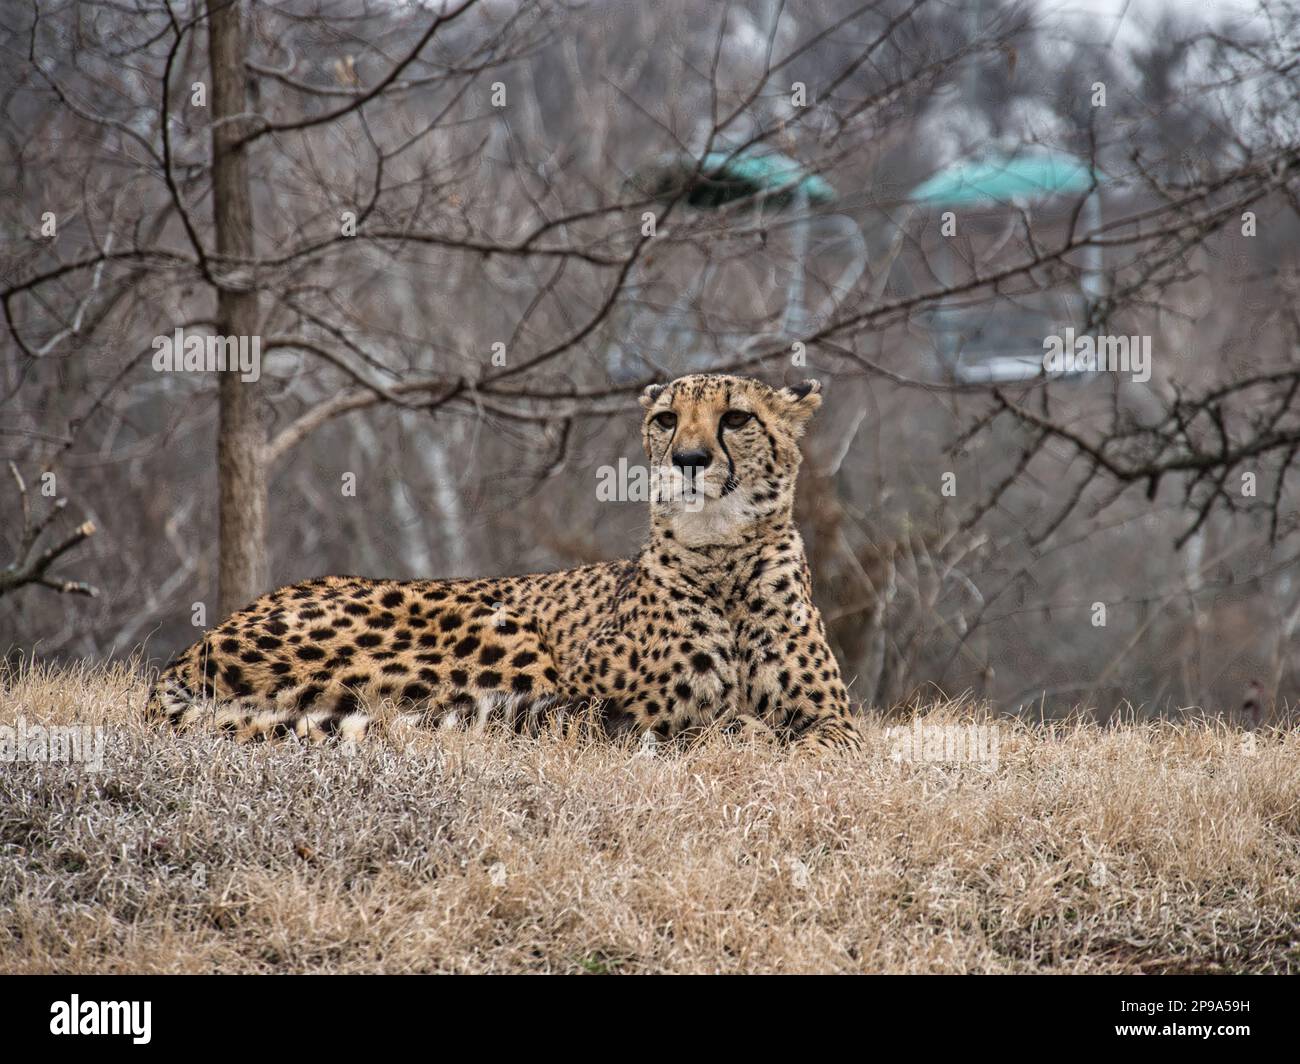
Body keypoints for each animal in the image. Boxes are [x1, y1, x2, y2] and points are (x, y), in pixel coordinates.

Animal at [147, 373, 864, 752]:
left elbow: (817, 740)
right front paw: (737, 729)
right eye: (666, 419)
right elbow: (702, 723)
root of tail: (192, 651)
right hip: (500, 625)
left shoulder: (838, 720)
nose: (688, 460)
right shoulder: (583, 706)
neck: (721, 560)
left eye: (736, 418)